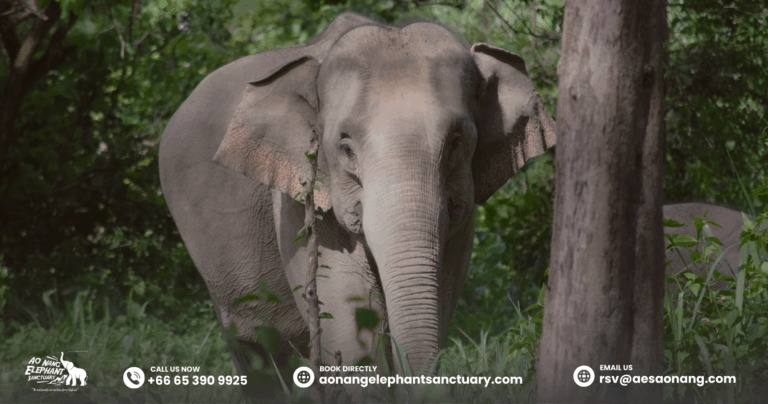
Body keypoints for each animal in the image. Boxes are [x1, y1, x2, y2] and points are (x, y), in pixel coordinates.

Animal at [159, 12, 555, 380]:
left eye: (457, 142)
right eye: (346, 148)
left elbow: (443, 291)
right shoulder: (300, 200)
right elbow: (349, 316)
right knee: (253, 349)